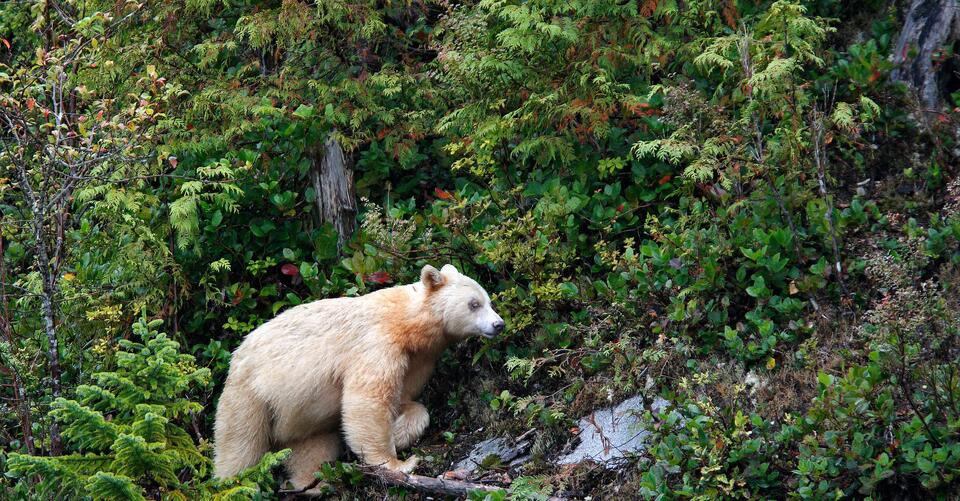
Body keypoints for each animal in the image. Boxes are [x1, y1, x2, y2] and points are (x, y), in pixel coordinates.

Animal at [212, 264, 504, 488]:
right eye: (474, 304)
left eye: (489, 301)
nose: (498, 324)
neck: (405, 322)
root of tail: (236, 356)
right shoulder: (376, 344)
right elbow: (369, 402)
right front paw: (399, 463)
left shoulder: (417, 358)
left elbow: (406, 400)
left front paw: (399, 432)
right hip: (251, 394)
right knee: (239, 442)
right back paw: (234, 481)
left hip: (300, 418)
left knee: (311, 448)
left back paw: (308, 483)